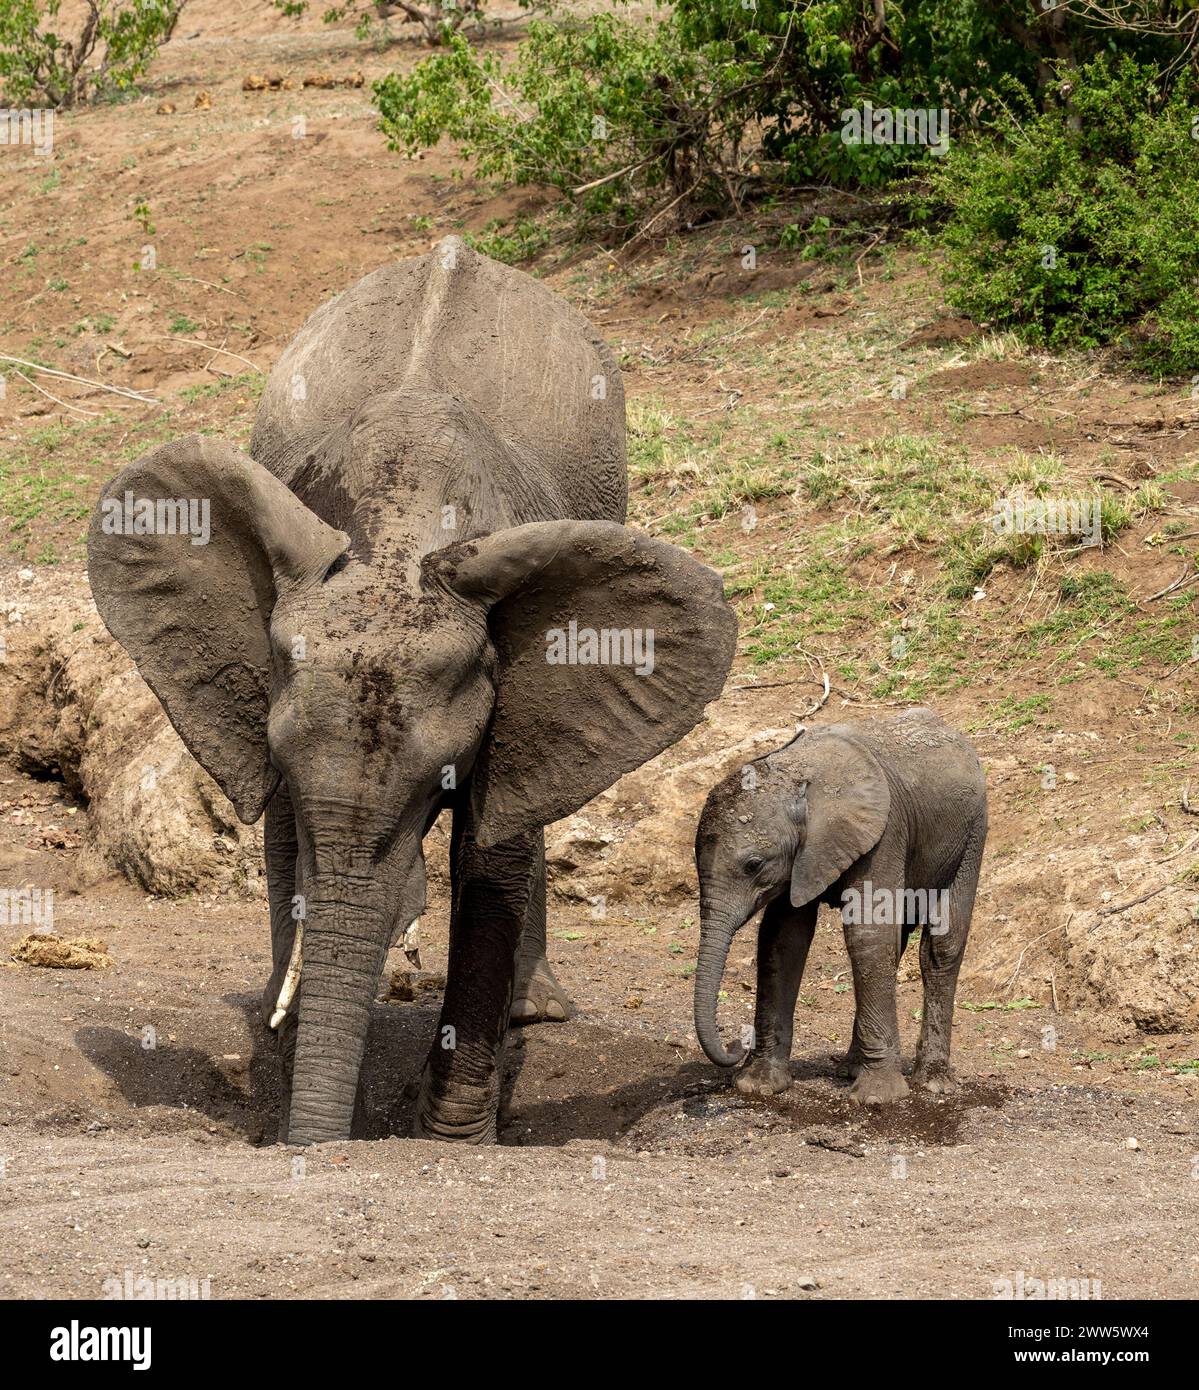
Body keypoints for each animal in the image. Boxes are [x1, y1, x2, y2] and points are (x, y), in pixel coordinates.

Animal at [87, 237, 737, 1146]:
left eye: (438, 779)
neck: (396, 540)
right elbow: (285, 843)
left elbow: (493, 858)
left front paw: (456, 1140)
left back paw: (535, 1011)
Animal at [692, 708, 986, 1105]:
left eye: (753, 865)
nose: (735, 1043)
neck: (796, 774)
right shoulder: (802, 855)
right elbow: (782, 939)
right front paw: (759, 1085)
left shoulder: (884, 832)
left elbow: (868, 933)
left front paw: (877, 1098)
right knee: (896, 945)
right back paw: (851, 1068)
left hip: (973, 832)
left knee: (941, 945)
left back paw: (932, 1081)